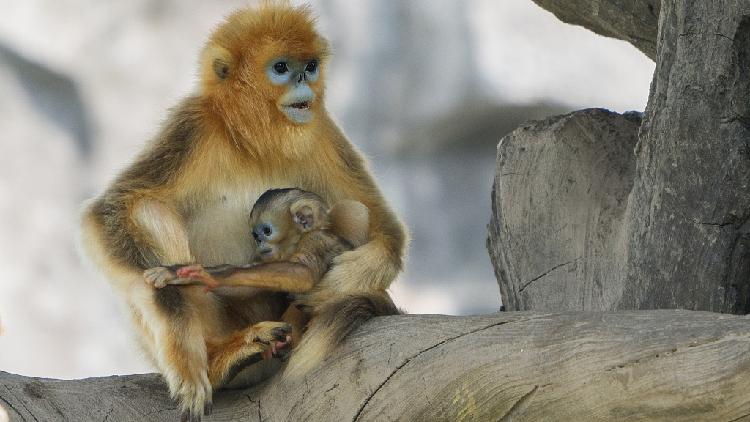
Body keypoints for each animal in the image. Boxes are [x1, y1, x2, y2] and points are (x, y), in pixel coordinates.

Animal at [79, 4, 407, 421]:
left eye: (311, 65)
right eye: (281, 68)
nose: (303, 80)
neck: (252, 141)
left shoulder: (322, 128)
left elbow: (383, 224)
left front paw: (342, 279)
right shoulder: (192, 124)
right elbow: (111, 211)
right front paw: (187, 353)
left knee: (356, 210)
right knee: (148, 210)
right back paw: (225, 356)